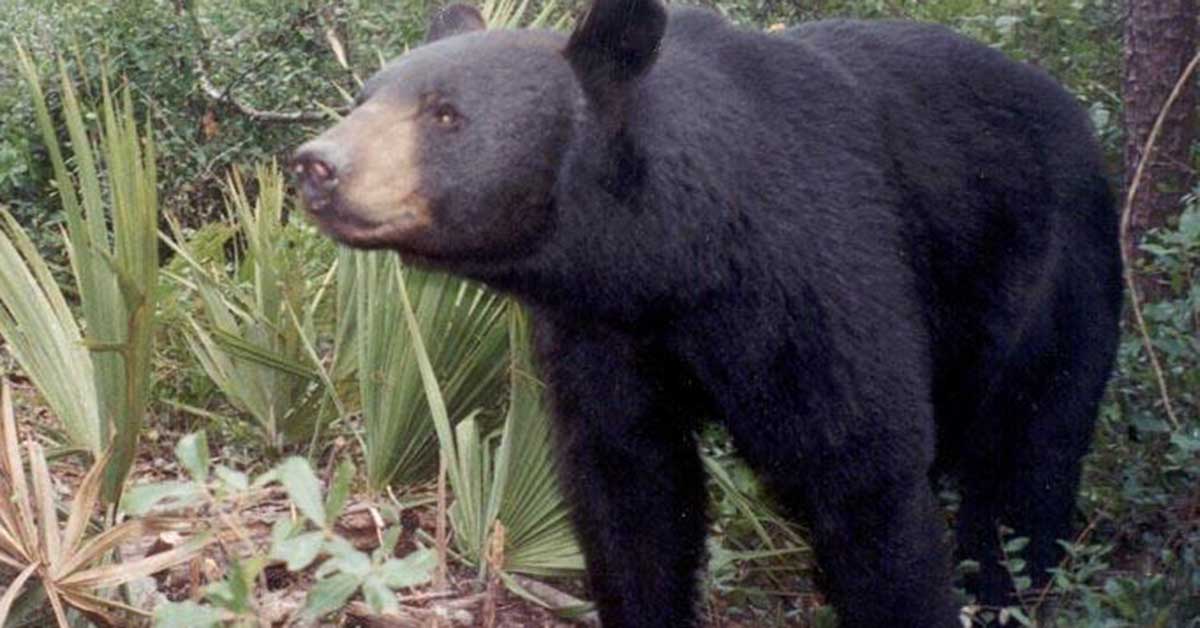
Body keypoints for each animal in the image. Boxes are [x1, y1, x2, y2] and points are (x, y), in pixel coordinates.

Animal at [292, 1, 1123, 626]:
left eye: (445, 115)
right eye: (364, 98)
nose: (317, 165)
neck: (677, 259)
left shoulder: (822, 272)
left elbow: (868, 472)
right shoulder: (603, 330)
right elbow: (629, 484)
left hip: (1055, 274)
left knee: (1030, 459)